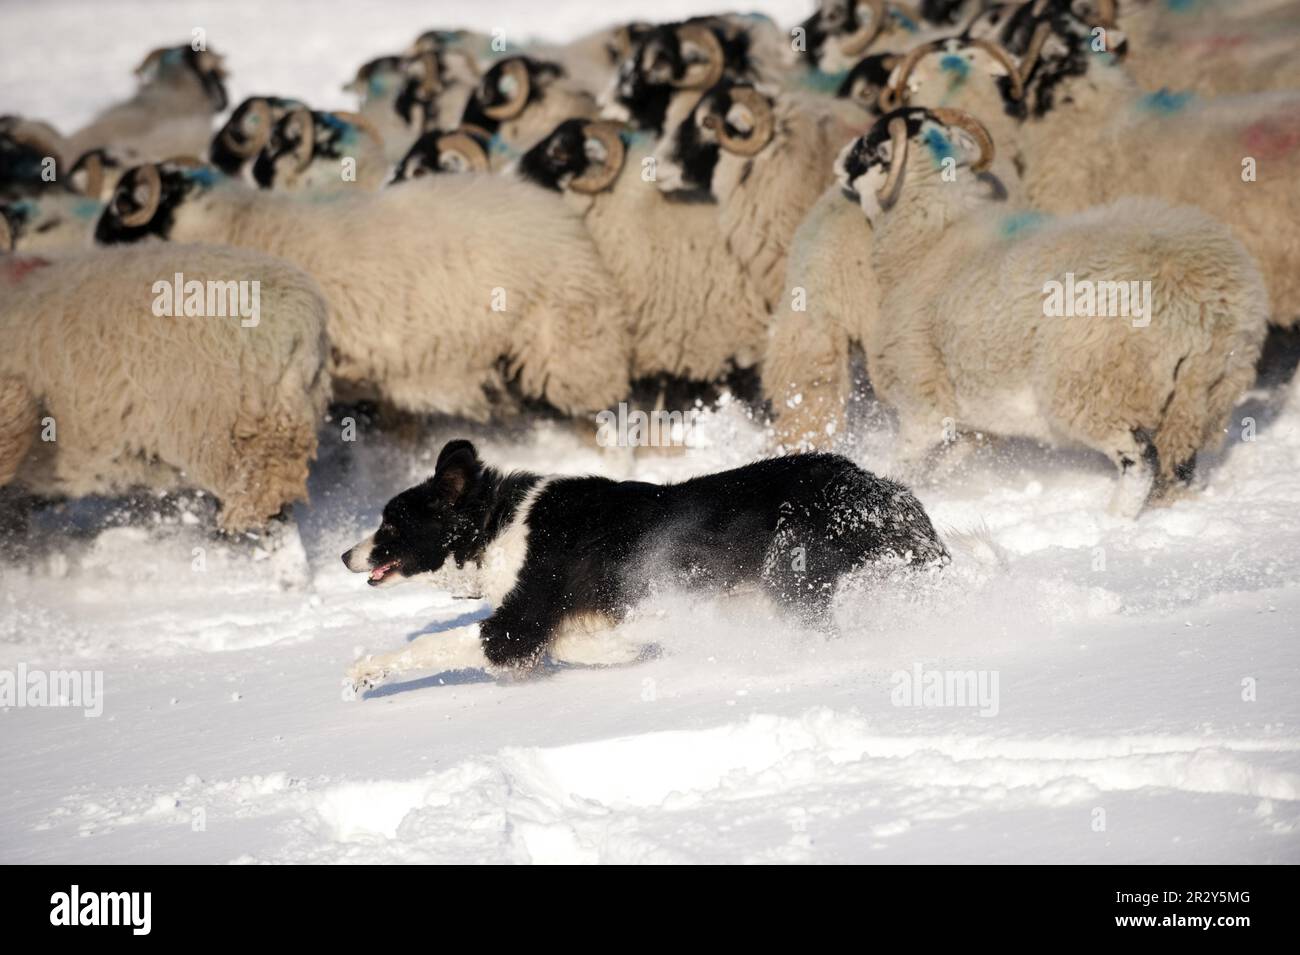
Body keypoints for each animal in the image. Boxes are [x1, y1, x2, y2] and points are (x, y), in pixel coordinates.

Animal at [836, 106, 1268, 514]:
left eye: (869, 145)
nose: (840, 161)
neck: (931, 236)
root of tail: (1205, 298)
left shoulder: (922, 400)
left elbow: (905, 465)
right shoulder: (973, 423)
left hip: (1094, 387)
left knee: (1140, 461)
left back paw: (1114, 521)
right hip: (1200, 397)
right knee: (1178, 466)